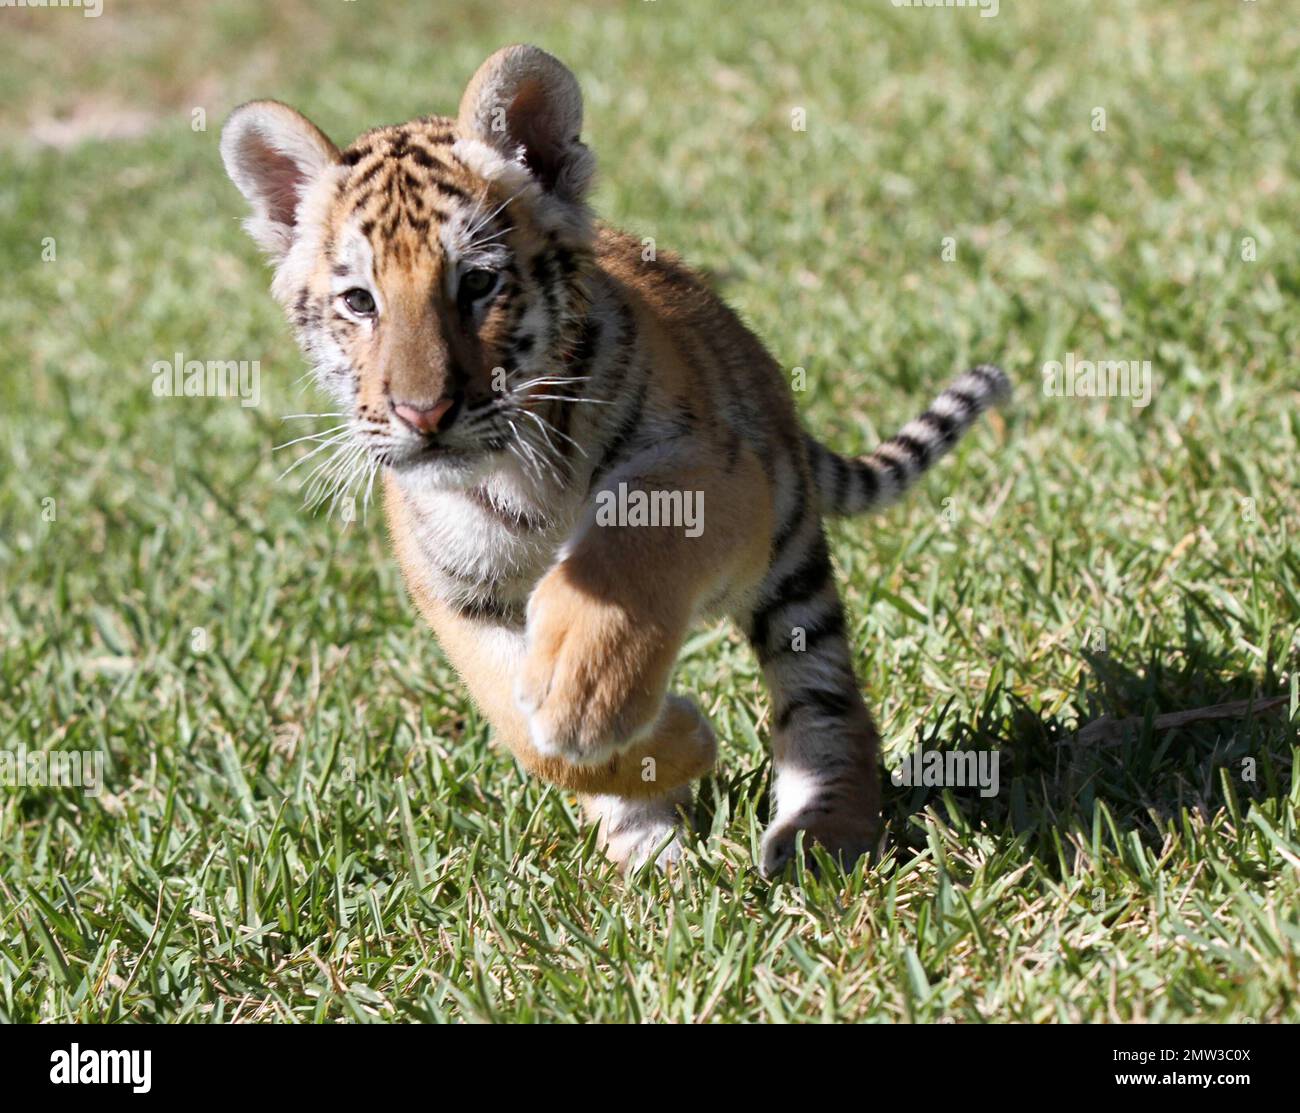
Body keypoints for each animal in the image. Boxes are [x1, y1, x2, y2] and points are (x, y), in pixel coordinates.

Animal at [220, 44, 1009, 877]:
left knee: (826, 701)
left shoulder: (718, 475)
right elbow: (520, 726)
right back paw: (648, 856)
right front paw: (672, 744)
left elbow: (628, 548)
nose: (422, 413)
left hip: (788, 562)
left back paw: (823, 837)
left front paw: (585, 691)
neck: (514, 469)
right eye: (359, 301)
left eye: (477, 282)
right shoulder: (457, 592)